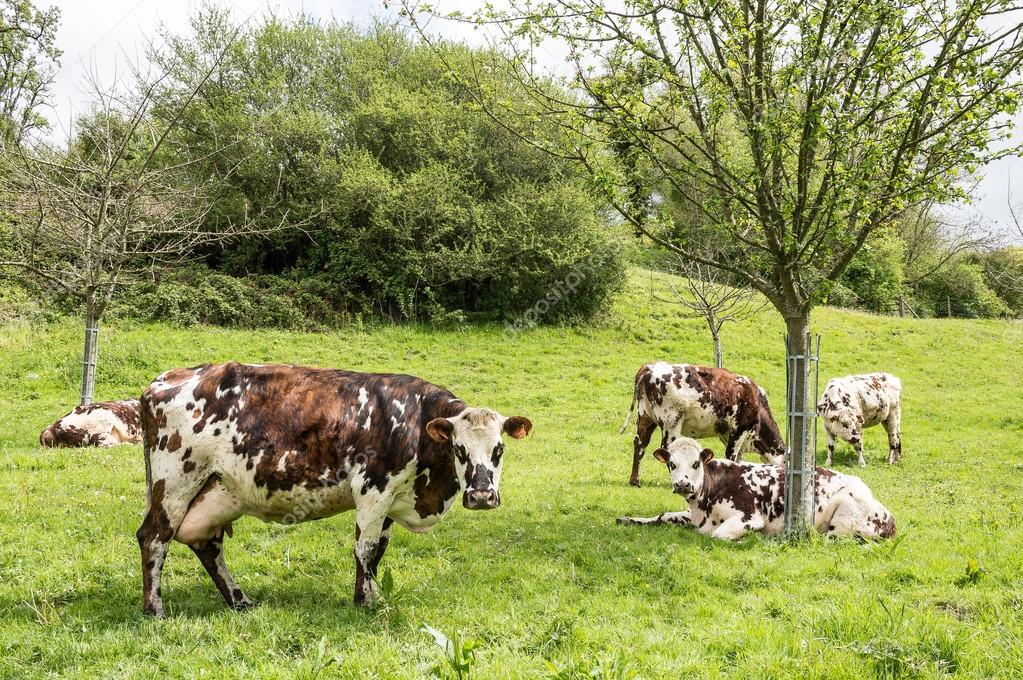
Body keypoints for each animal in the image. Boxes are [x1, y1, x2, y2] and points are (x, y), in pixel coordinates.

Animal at [135, 361, 532, 616]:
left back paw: (239, 600)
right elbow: (365, 549)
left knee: (208, 544)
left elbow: (378, 552)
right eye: (459, 449)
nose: (481, 496)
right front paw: (368, 603)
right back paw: (155, 609)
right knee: (154, 537)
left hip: (217, 490)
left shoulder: (393, 499)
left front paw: (367, 596)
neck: (414, 421)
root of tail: (167, 379)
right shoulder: (373, 489)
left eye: (499, 449)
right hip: (175, 482)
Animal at [617, 437, 896, 540]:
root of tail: (888, 516)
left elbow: (717, 535)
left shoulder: (749, 517)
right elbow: (663, 516)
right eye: (671, 464)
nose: (683, 484)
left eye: (696, 463)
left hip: (843, 519)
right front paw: (628, 519)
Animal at [620, 362, 785, 486]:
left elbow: (738, 458)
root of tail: (650, 367)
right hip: (671, 420)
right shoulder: (740, 429)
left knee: (640, 444)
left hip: (645, 417)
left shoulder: (728, 434)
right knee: (666, 448)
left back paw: (634, 480)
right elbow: (731, 455)